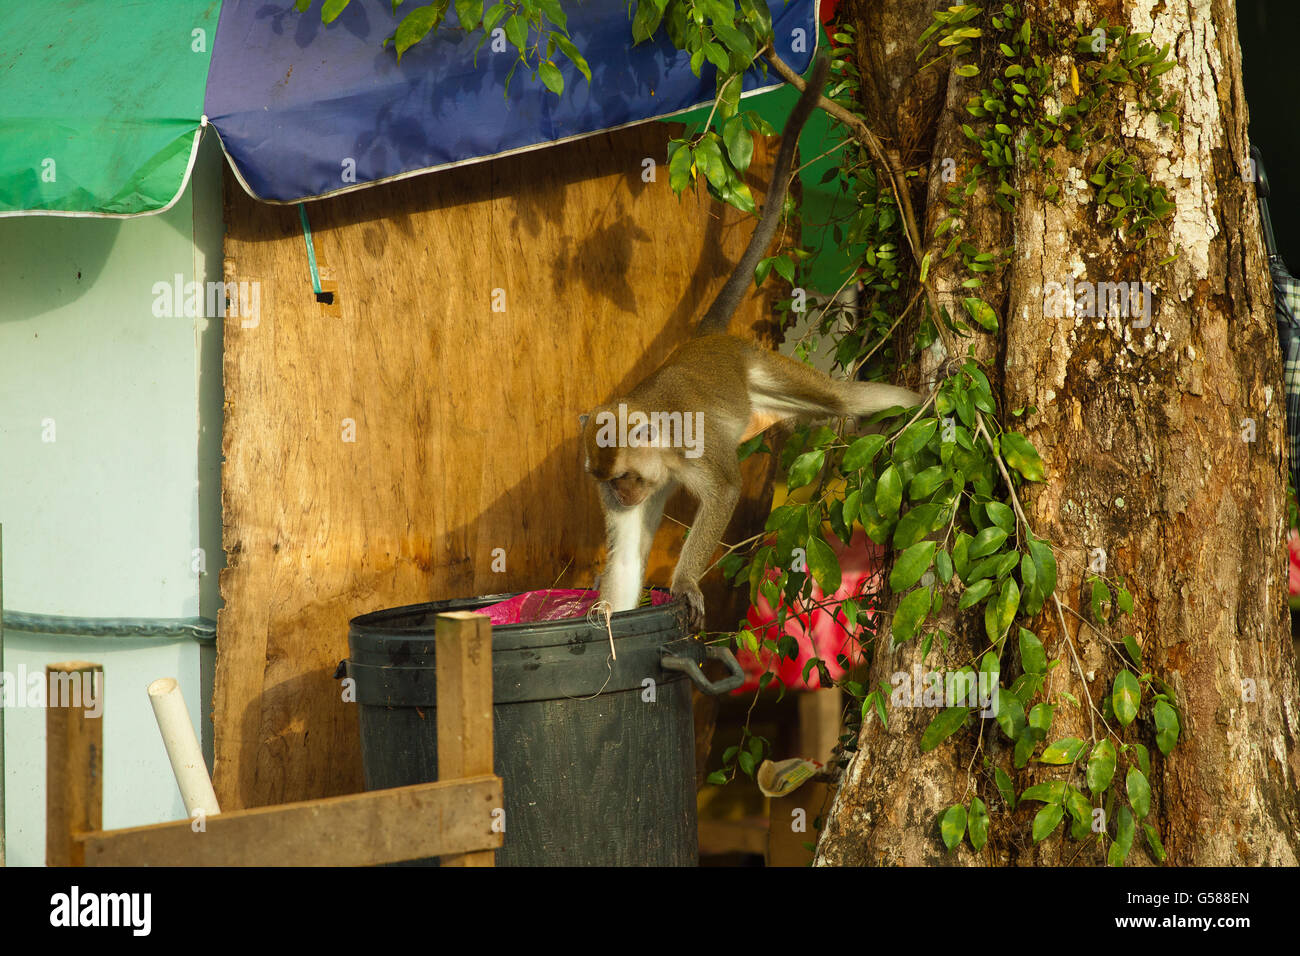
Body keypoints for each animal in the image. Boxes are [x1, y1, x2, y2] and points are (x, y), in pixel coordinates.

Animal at [582, 53, 922, 629]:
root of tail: (703, 342)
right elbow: (626, 553)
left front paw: (685, 584)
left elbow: (725, 493)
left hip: (757, 363)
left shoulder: (694, 445)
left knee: (841, 398)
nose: (622, 495)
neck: (661, 444)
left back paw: (915, 403)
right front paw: (606, 612)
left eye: (622, 475)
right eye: (608, 483)